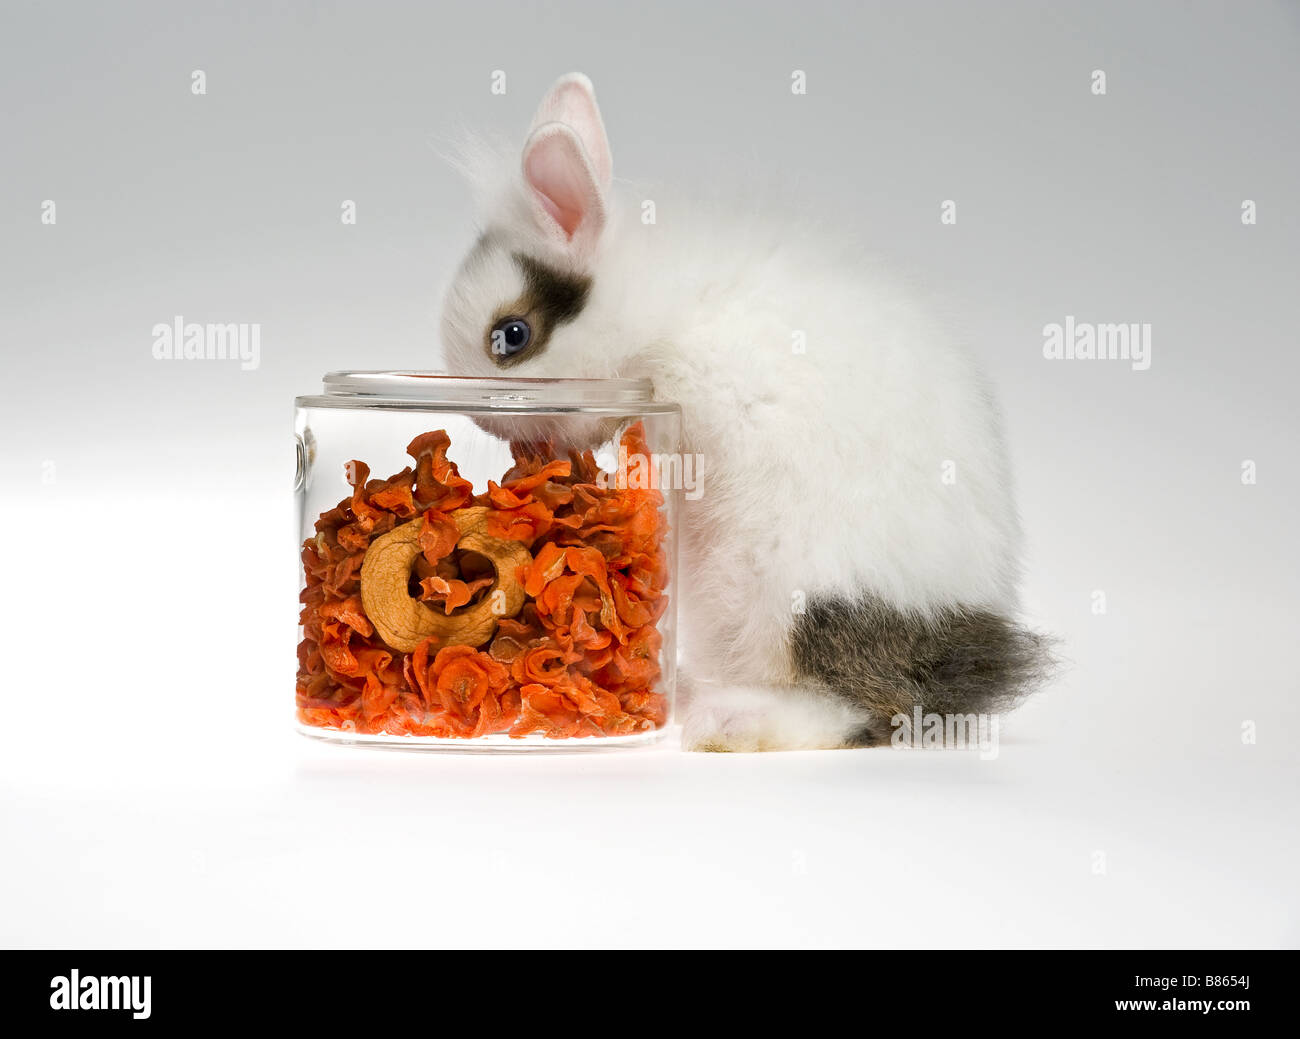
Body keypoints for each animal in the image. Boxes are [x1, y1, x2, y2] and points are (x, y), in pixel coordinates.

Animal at [437, 73, 1050, 751]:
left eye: (511, 336)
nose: (483, 421)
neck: (651, 316)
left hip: (789, 590)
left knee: (858, 707)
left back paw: (726, 722)